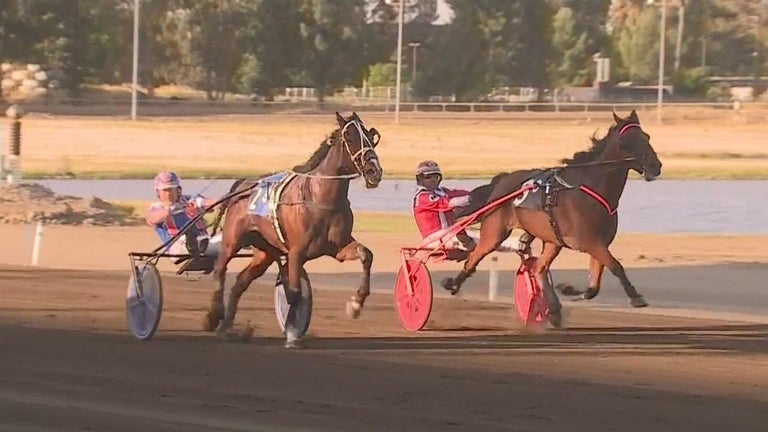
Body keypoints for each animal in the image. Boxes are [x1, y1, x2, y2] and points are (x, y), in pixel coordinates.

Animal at [204, 112, 383, 347]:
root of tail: (243, 185)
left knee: (241, 281)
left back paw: (226, 328)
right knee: (220, 269)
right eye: (351, 138)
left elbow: (366, 255)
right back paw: (213, 317)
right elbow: (295, 292)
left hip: (264, 252)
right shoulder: (297, 252)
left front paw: (356, 304)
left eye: (371, 138)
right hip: (233, 239)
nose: (374, 171)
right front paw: (291, 332)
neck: (319, 197)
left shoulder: (338, 247)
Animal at [441, 110, 662, 325]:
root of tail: (503, 179)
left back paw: (554, 310)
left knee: (539, 268)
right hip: (495, 232)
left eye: (646, 136)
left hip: (552, 241)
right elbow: (616, 266)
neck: (593, 189)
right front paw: (636, 297)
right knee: (474, 257)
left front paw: (568, 290)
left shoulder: (599, 244)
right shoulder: (591, 242)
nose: (655, 166)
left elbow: (594, 287)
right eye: (625, 141)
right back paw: (453, 284)